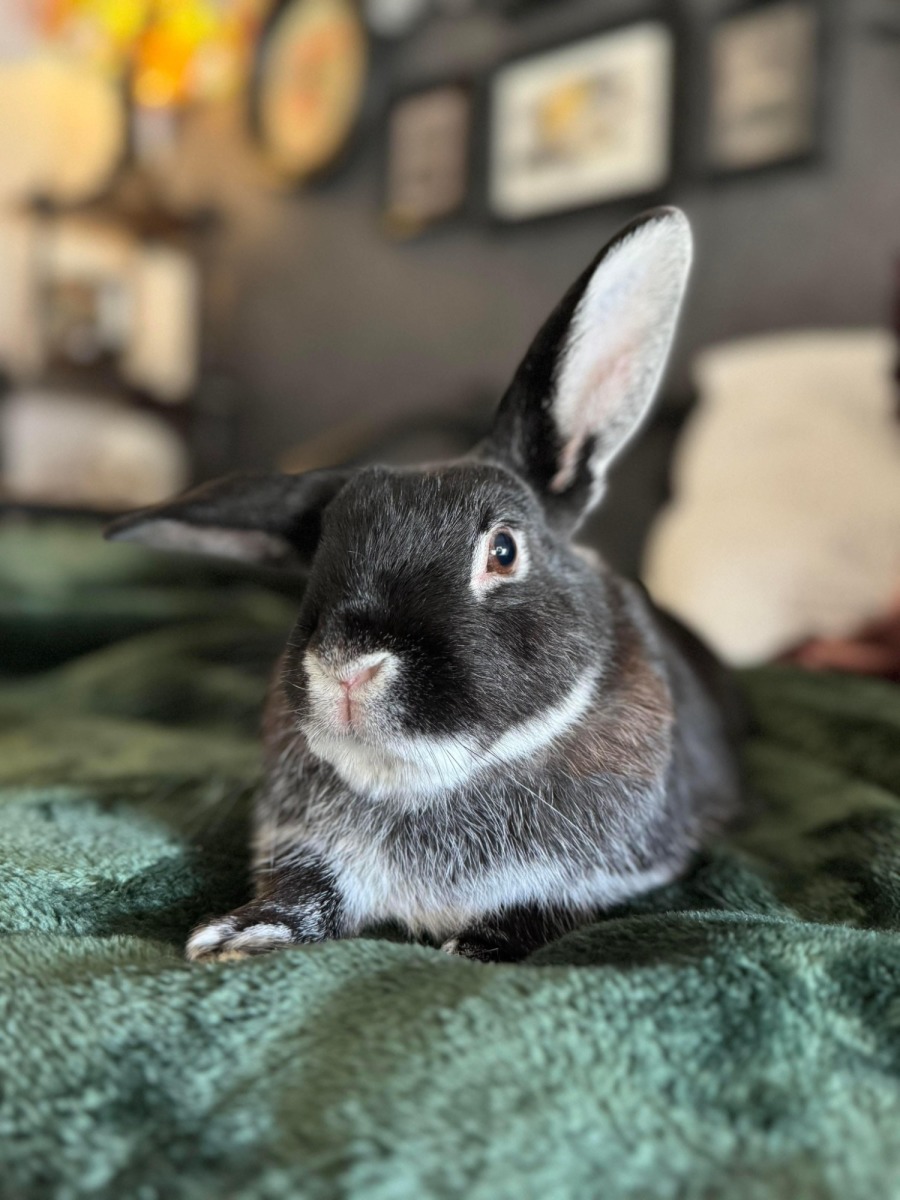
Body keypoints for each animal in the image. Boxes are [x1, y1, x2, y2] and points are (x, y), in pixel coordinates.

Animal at [106, 208, 744, 964]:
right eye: (320, 551)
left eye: (503, 551)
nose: (347, 668)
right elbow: (304, 892)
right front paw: (239, 935)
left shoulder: (603, 880)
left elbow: (547, 912)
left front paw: (473, 952)